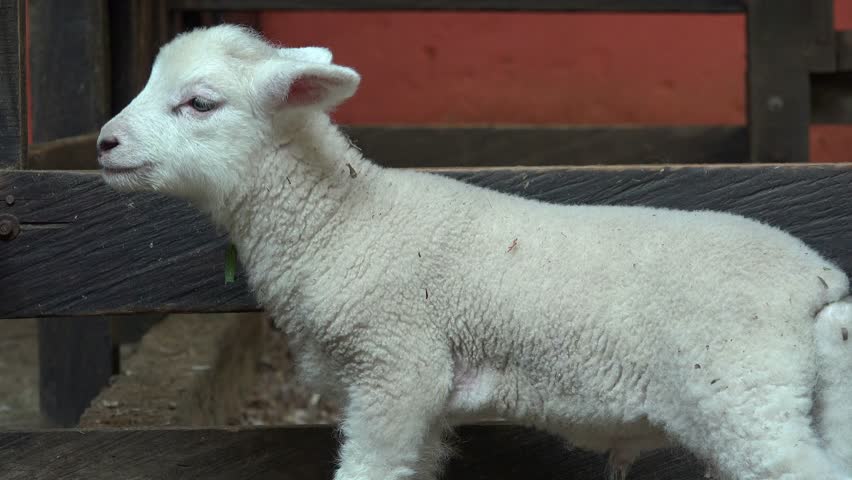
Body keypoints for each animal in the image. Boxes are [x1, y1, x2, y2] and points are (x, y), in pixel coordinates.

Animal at [95, 24, 852, 480]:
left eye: (199, 103)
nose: (104, 144)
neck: (341, 222)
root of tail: (817, 279)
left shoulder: (397, 367)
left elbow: (368, 469)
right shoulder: (423, 399)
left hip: (744, 395)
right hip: (803, 394)